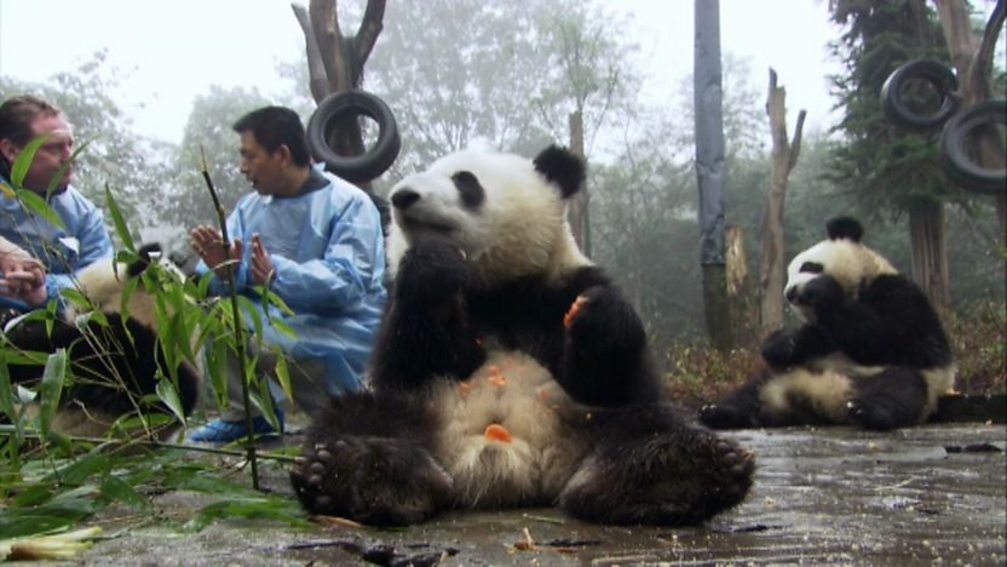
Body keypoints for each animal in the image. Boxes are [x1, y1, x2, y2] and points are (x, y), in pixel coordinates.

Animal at [290, 145, 754, 527]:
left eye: (465, 181)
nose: (403, 196)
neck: (494, 287)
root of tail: (509, 468)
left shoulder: (557, 287)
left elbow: (612, 381)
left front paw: (598, 316)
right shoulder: (398, 303)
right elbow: (406, 363)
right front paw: (432, 269)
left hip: (583, 417)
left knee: (649, 421)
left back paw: (681, 473)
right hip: (421, 411)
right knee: (354, 417)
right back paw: (353, 474)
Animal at [699, 216, 955, 431]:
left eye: (808, 266)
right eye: (788, 276)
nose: (791, 292)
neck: (856, 288)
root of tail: (829, 398)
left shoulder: (901, 295)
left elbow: (892, 336)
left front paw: (821, 289)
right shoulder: (823, 331)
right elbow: (809, 339)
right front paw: (778, 345)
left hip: (903, 381)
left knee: (902, 388)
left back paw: (867, 411)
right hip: (787, 374)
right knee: (752, 389)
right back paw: (719, 412)